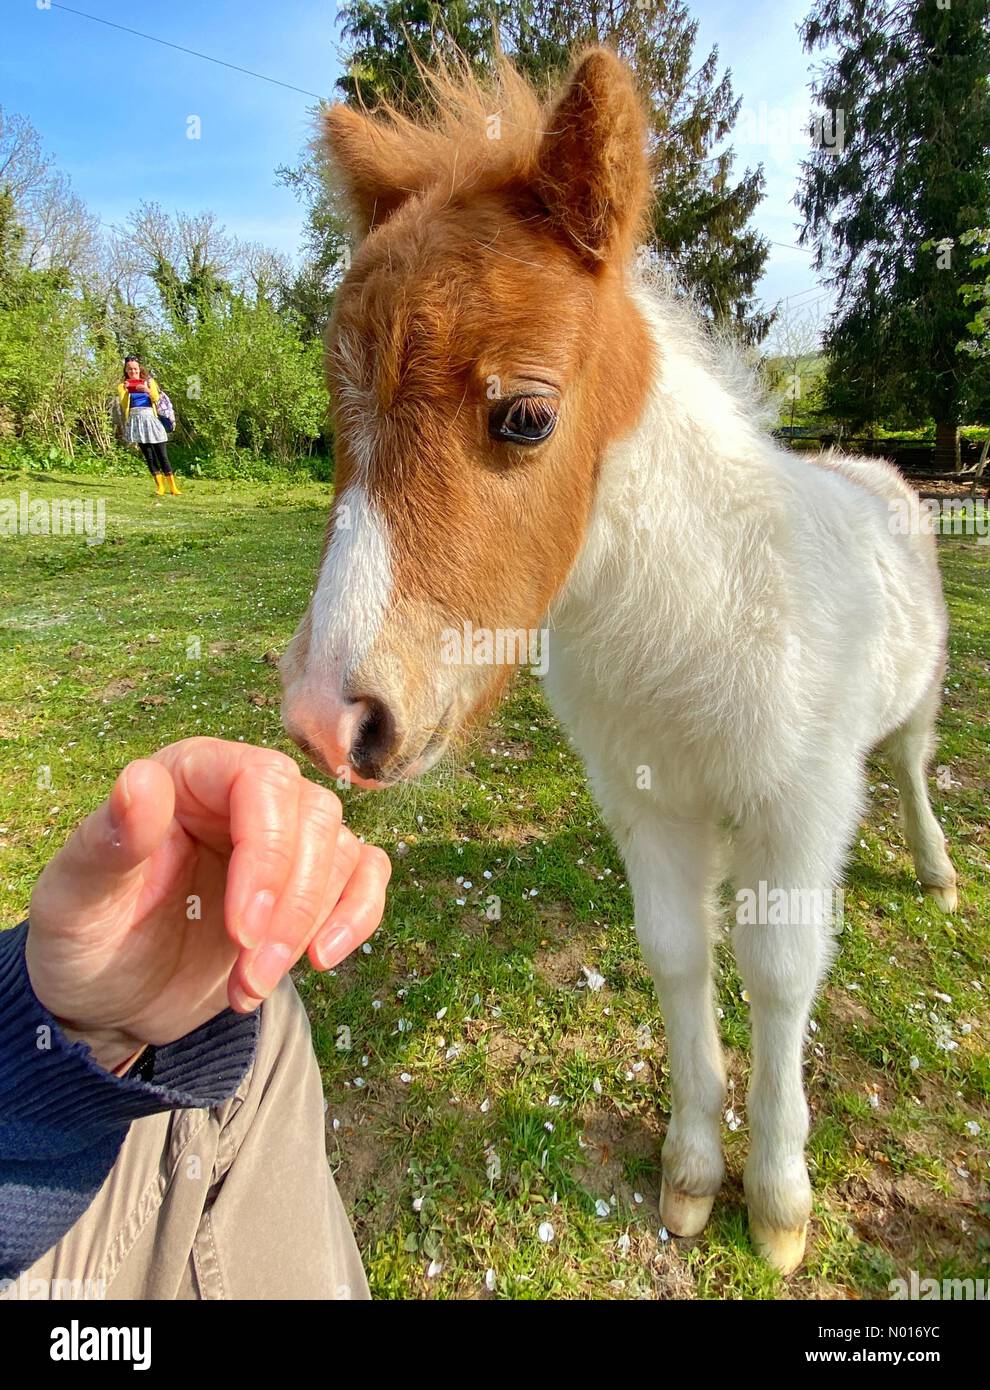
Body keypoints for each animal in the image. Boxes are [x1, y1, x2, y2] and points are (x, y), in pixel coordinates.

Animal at [280, 48, 957, 1274]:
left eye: (525, 416)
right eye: (337, 421)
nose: (325, 717)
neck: (705, 626)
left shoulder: (798, 810)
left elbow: (780, 975)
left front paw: (778, 1204)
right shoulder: (652, 811)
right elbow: (681, 956)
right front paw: (692, 1174)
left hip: (914, 706)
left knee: (914, 769)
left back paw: (935, 867)